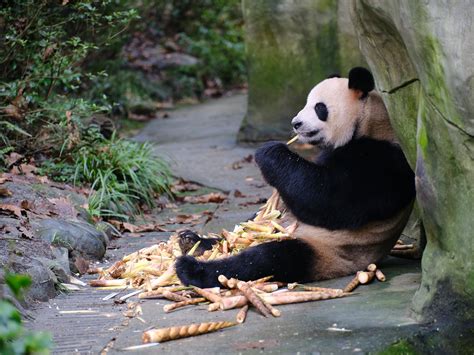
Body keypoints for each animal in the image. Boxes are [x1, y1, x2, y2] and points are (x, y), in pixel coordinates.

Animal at [175, 67, 414, 290]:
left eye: (319, 108)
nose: (295, 123)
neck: (369, 123)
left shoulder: (381, 161)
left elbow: (329, 200)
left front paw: (269, 152)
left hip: (326, 250)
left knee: (268, 258)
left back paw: (191, 268)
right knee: (236, 233)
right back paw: (193, 240)